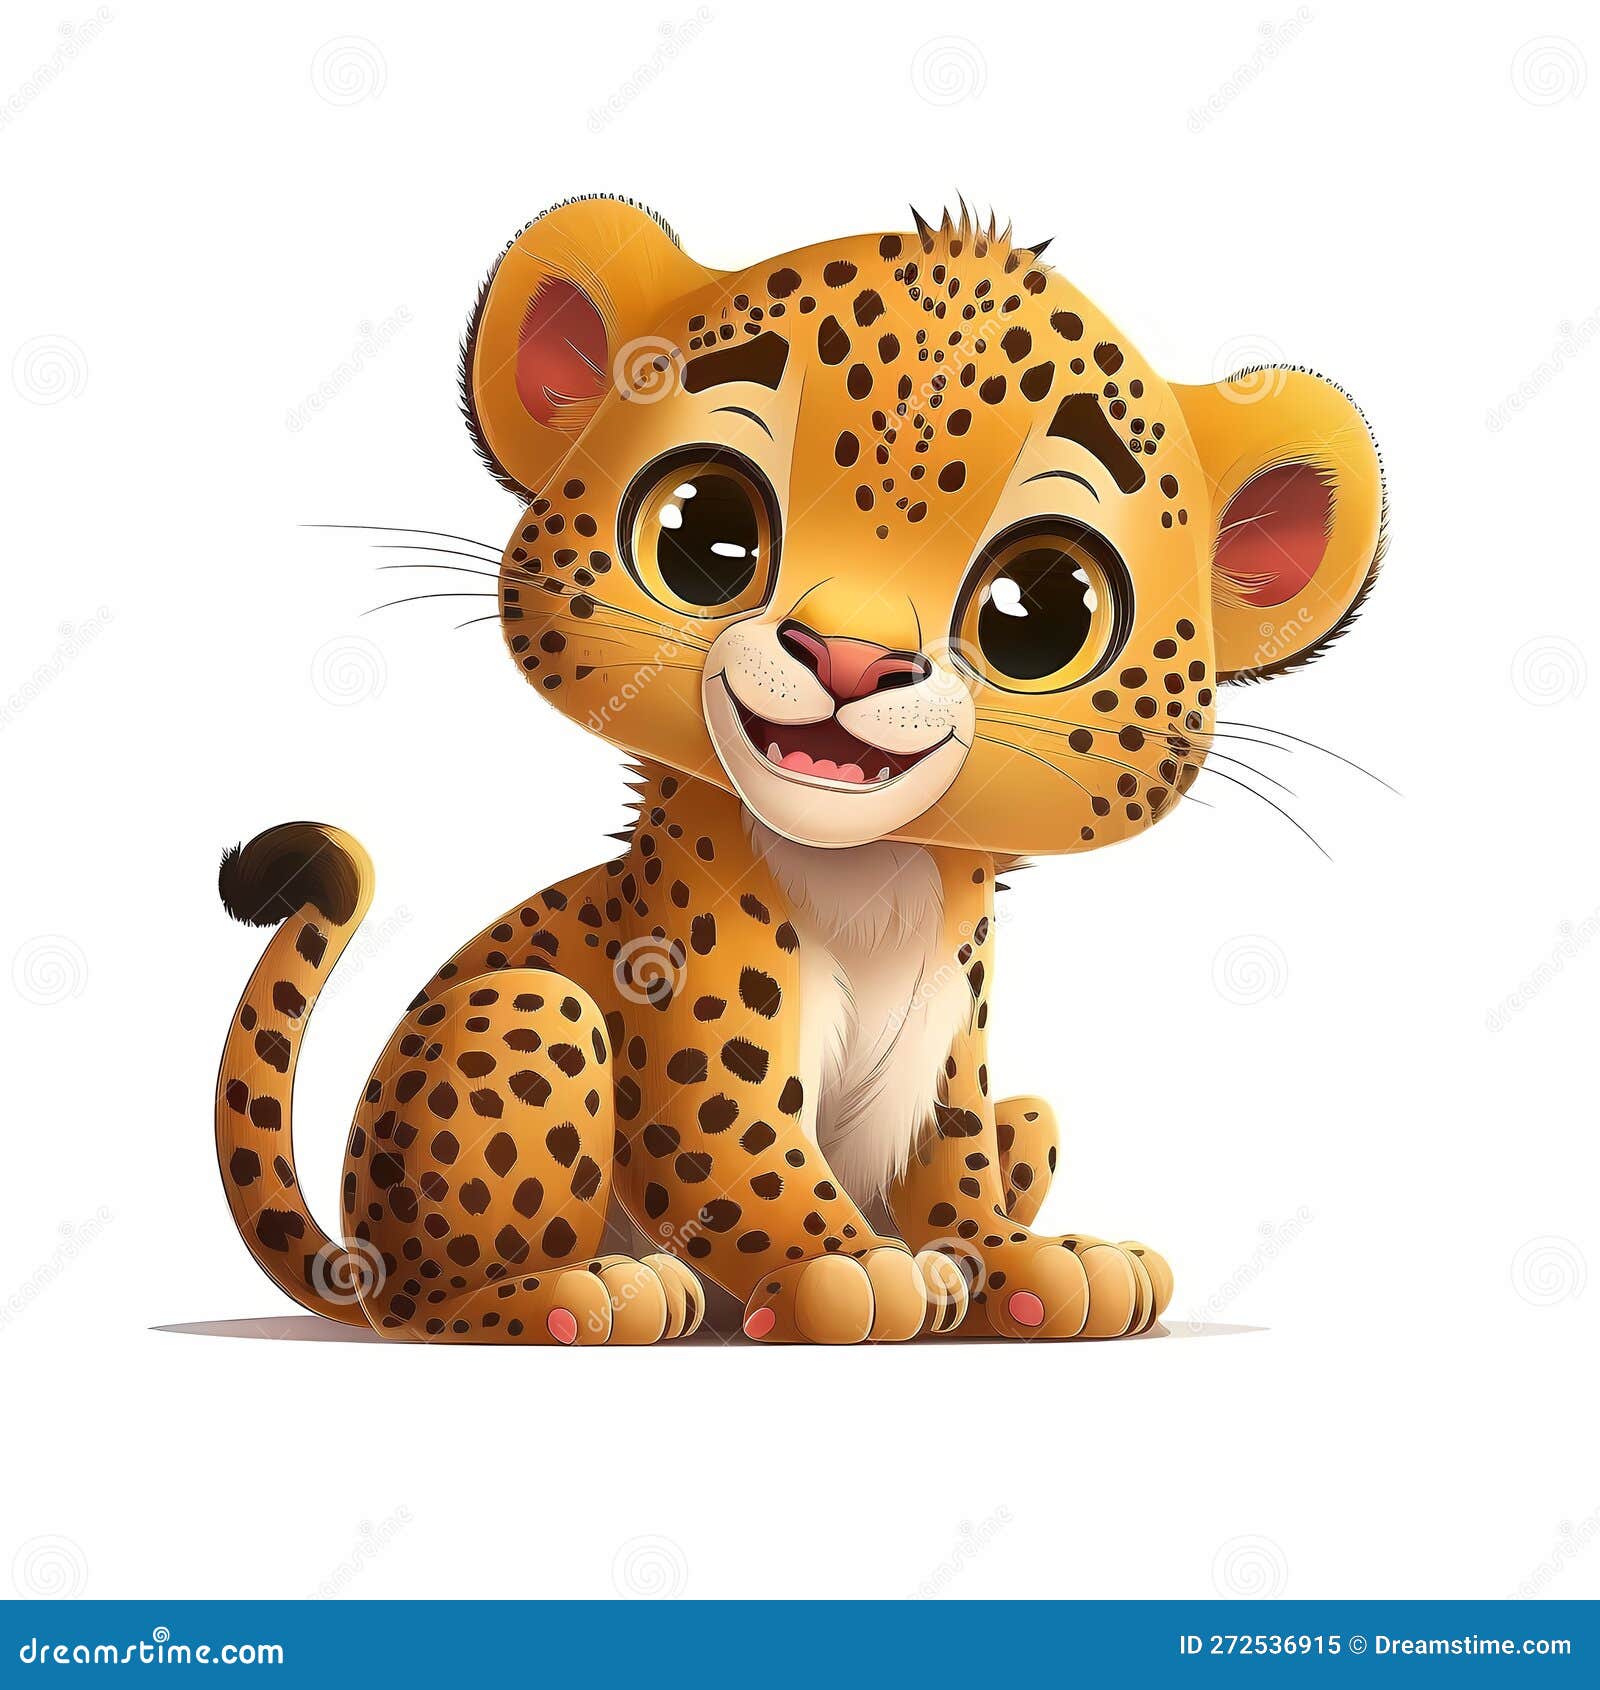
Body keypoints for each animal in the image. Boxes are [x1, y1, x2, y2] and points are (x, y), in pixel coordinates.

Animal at [214, 196, 1386, 1345]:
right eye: (708, 528)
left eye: (1045, 610)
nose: (852, 658)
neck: (878, 880)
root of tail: (356, 1252)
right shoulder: (697, 1046)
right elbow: (745, 1158)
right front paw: (849, 1268)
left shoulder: (951, 1055)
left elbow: (958, 1173)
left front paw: (1034, 1266)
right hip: (528, 1017)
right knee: (432, 1295)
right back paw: (588, 1292)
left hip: (1030, 1112)